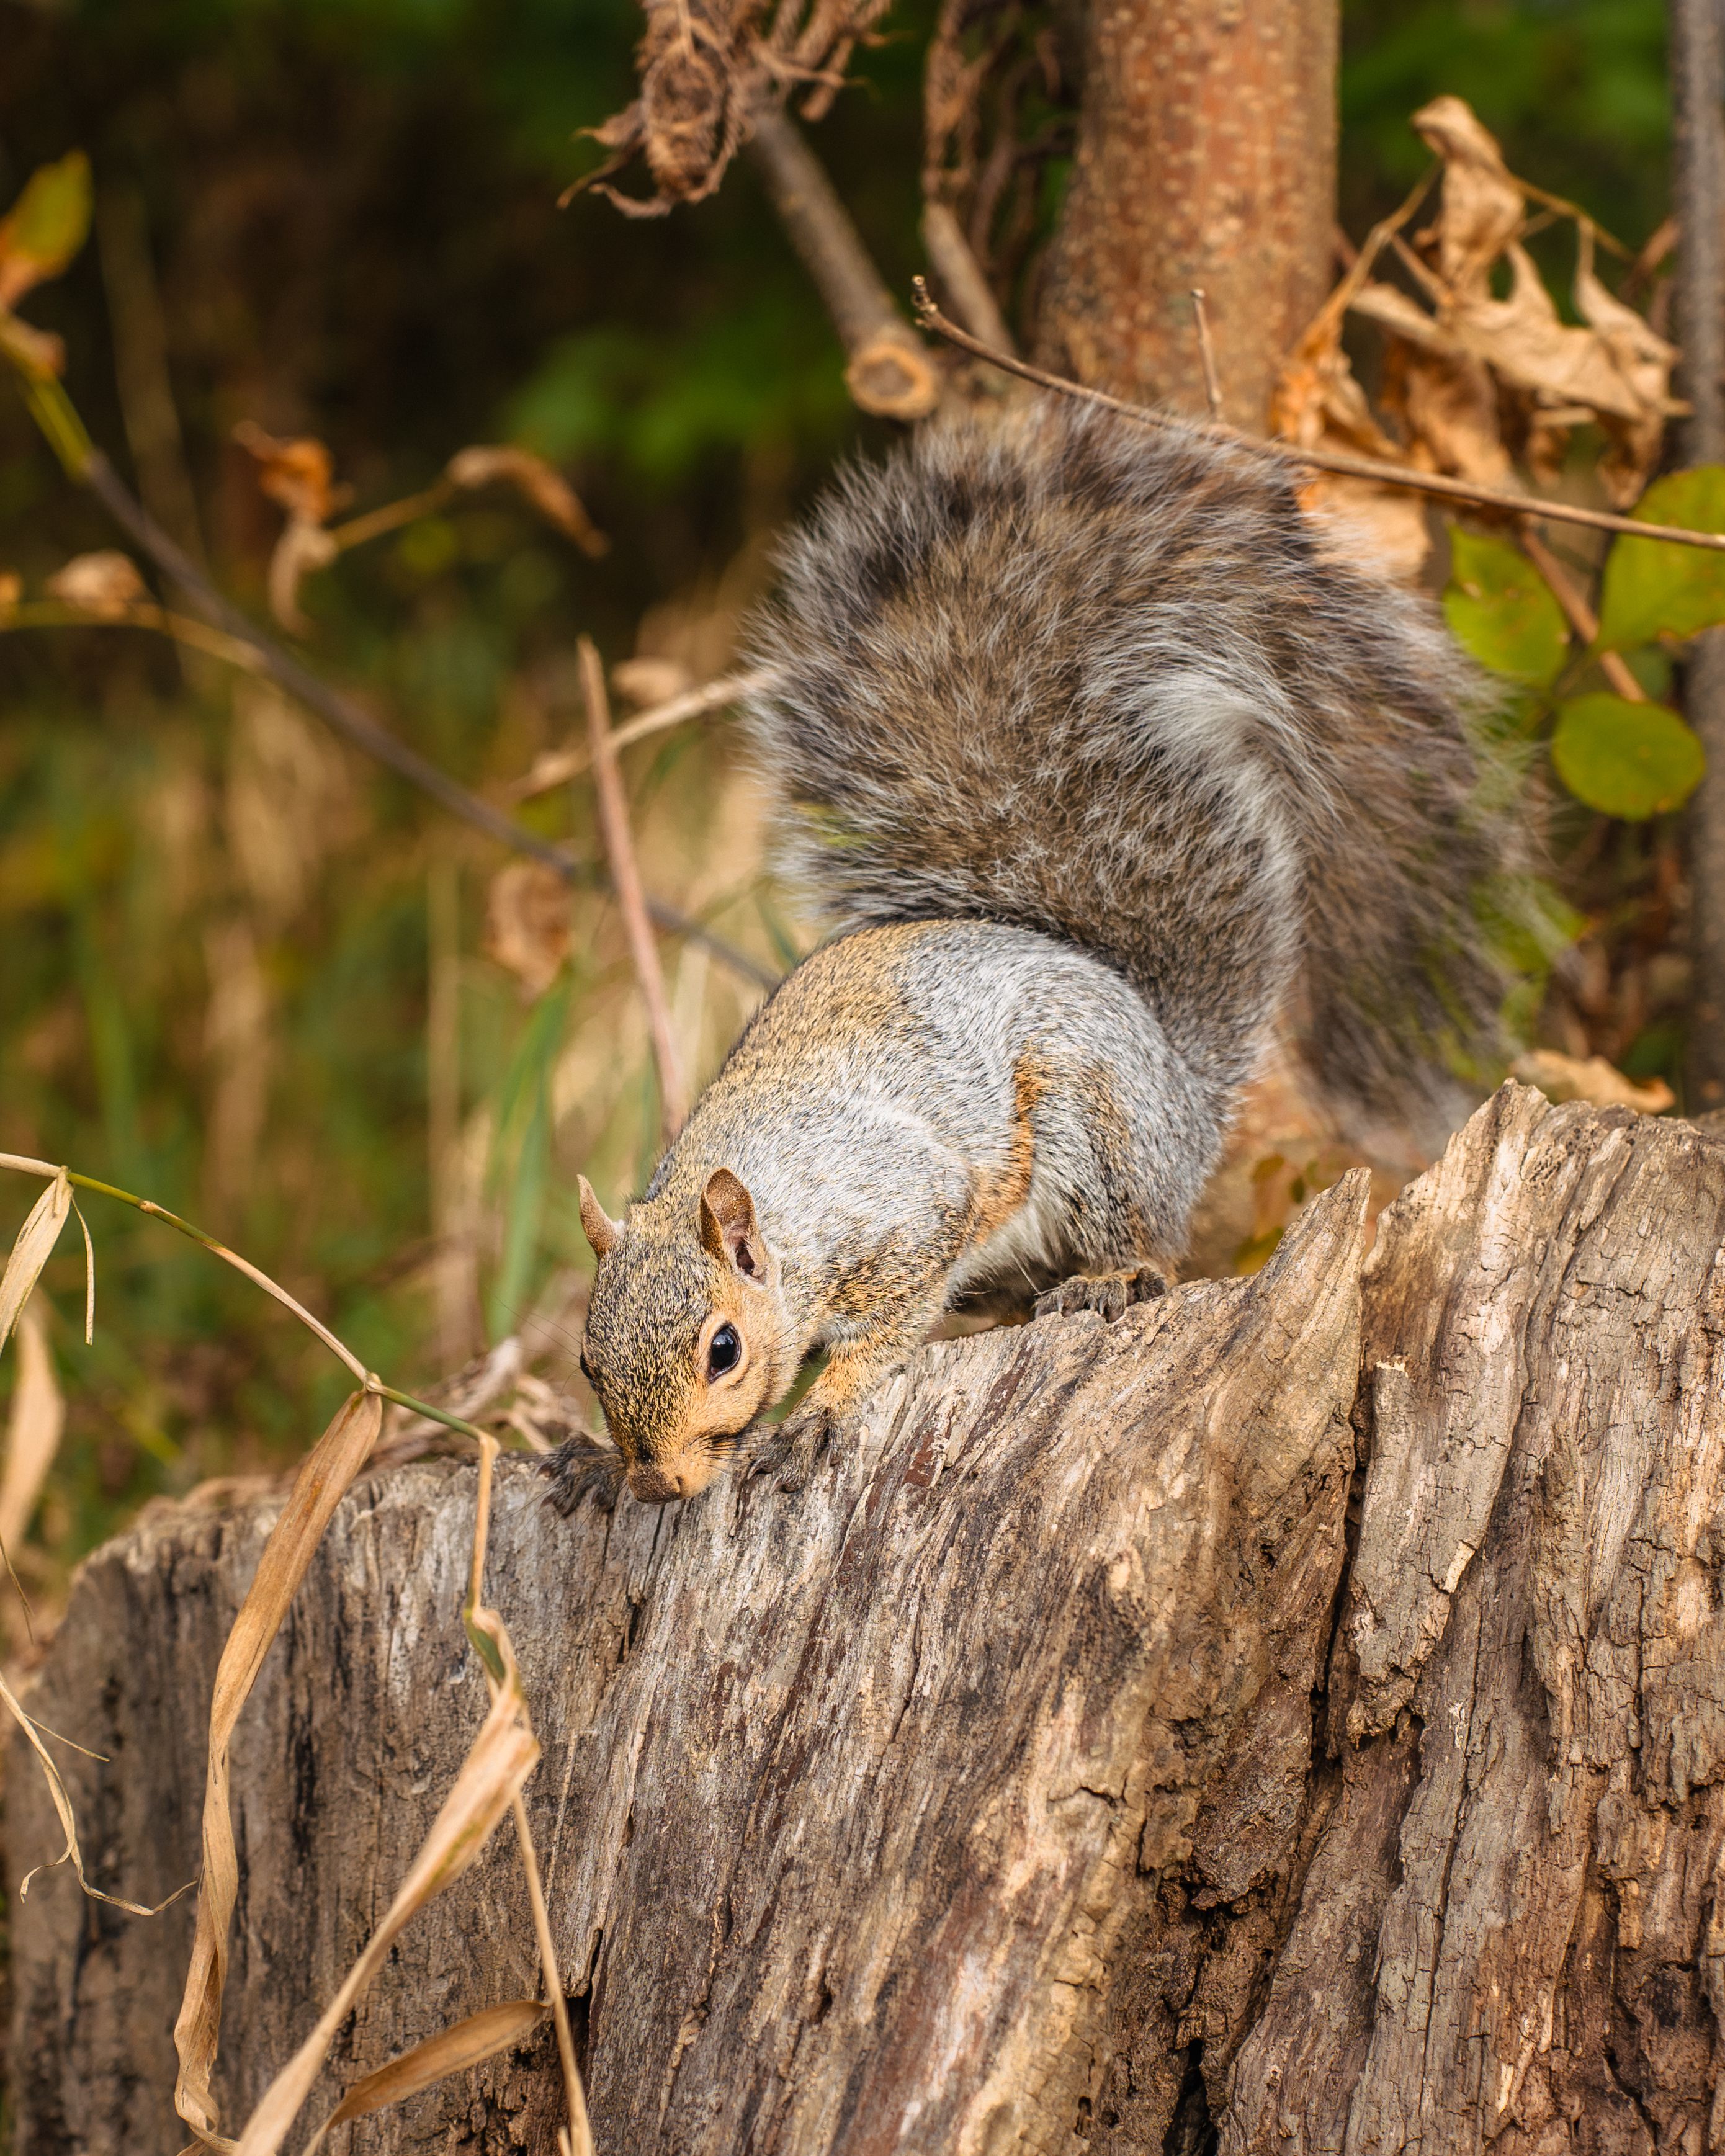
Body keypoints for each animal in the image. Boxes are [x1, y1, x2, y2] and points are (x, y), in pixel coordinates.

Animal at [549, 393, 1512, 1511]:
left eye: (722, 1350)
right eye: (587, 1361)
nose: (659, 1482)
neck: (782, 1203)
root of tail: (1175, 1080)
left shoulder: (916, 1211)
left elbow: (887, 1322)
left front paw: (824, 1408)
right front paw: (588, 1458)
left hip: (1091, 1119)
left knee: (1143, 1244)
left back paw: (1108, 1277)